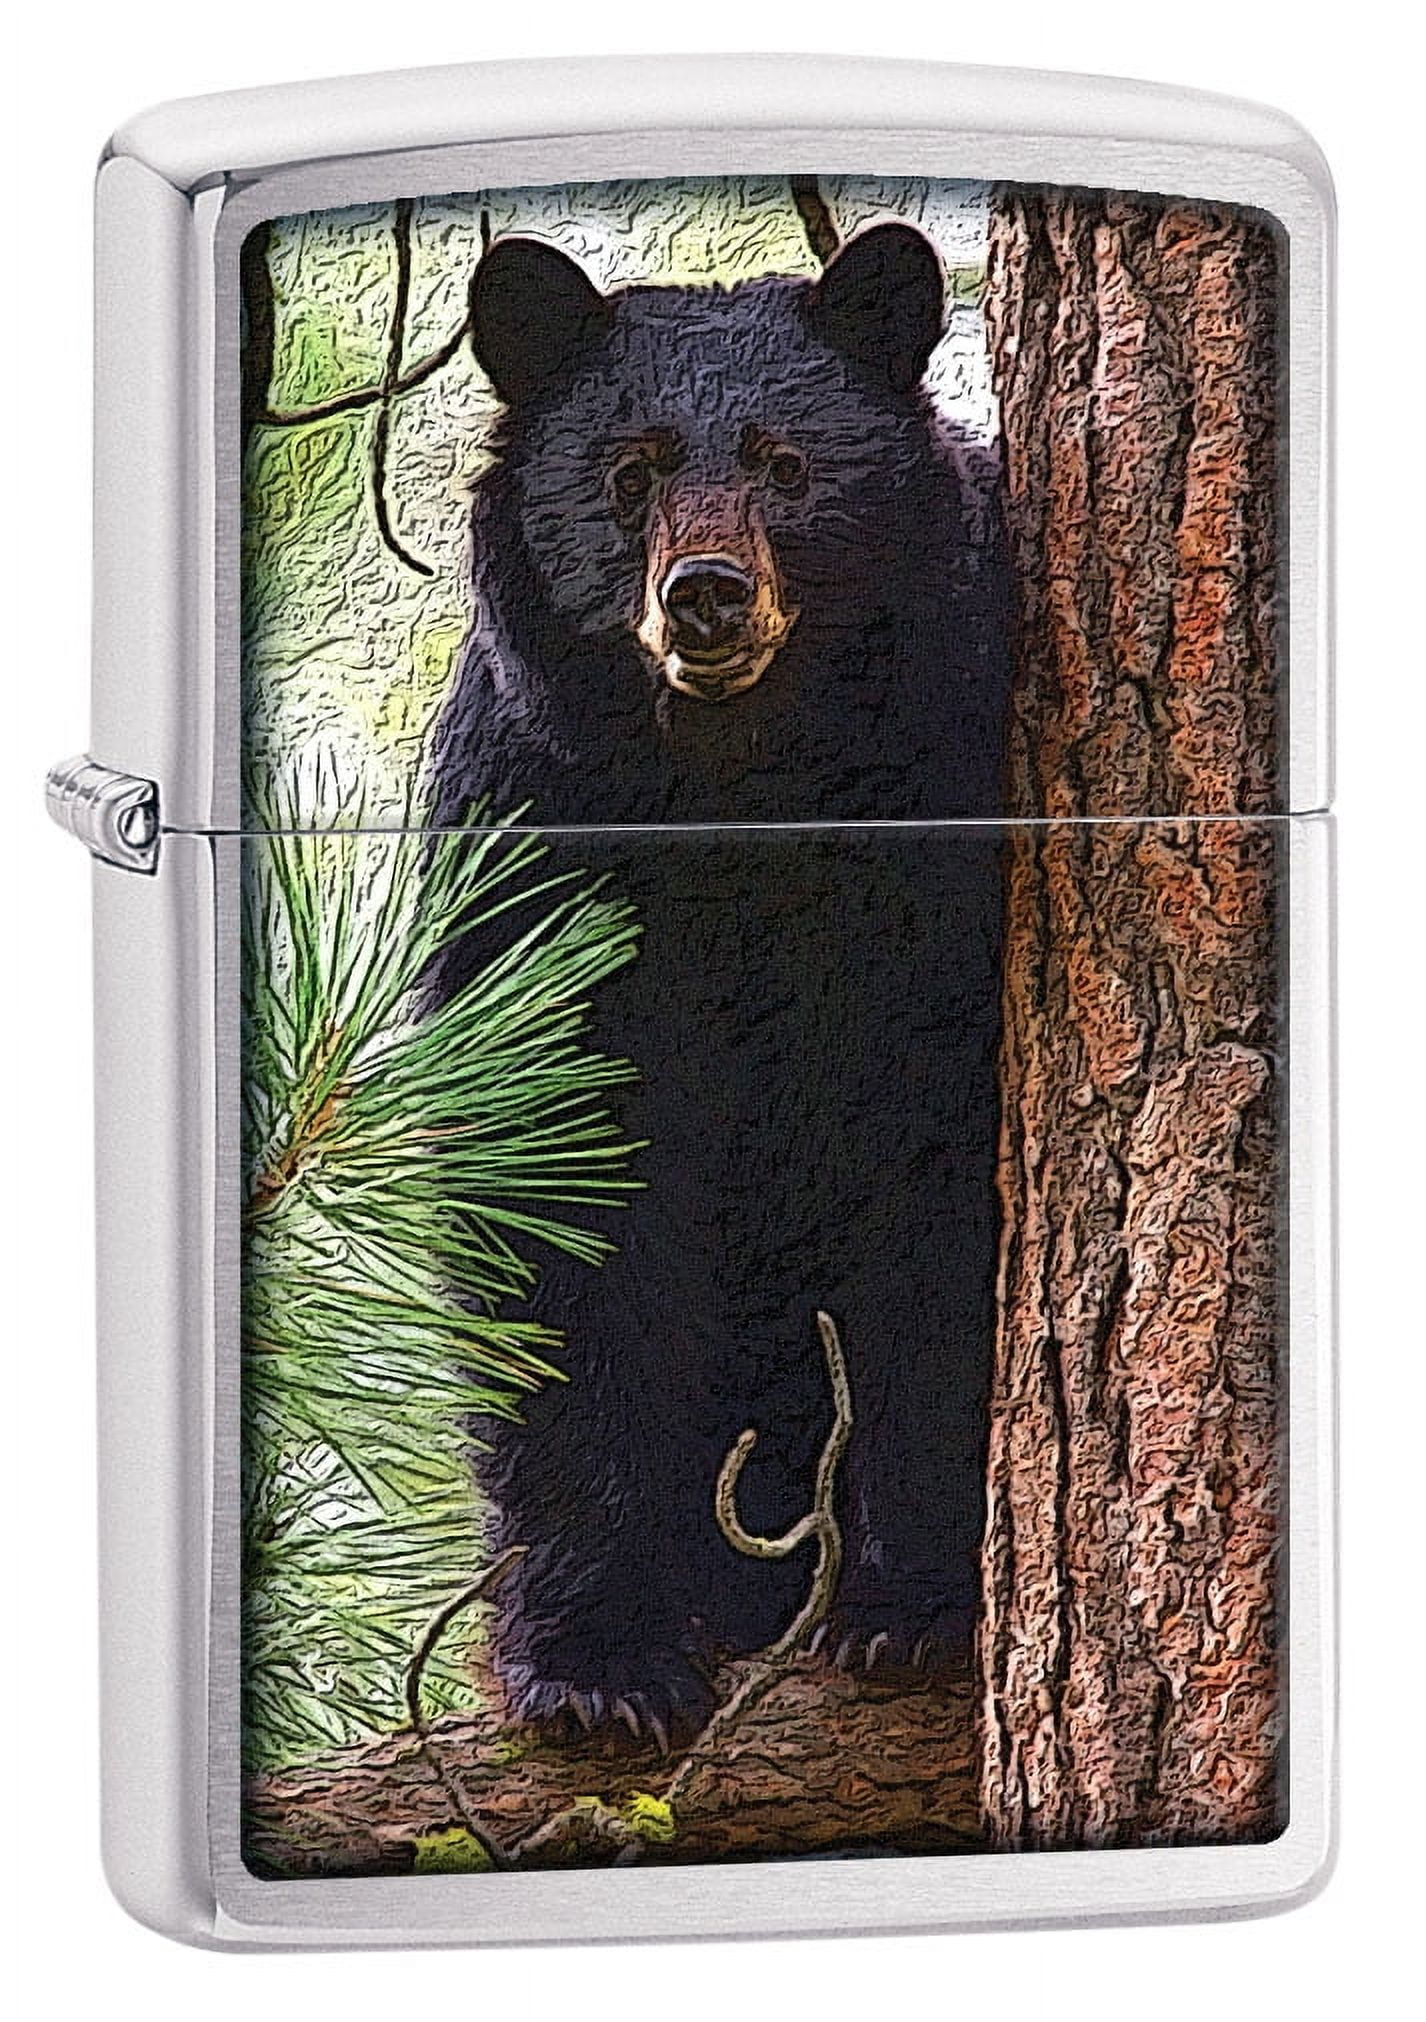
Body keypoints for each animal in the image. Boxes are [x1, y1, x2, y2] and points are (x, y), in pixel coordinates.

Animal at [424, 221, 1011, 1749]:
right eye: (627, 473)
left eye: (784, 464)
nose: (705, 596)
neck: (739, 792)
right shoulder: (536, 842)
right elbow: (562, 1208)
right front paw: (596, 1663)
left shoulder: (952, 820)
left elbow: (939, 1200)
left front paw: (910, 1605)